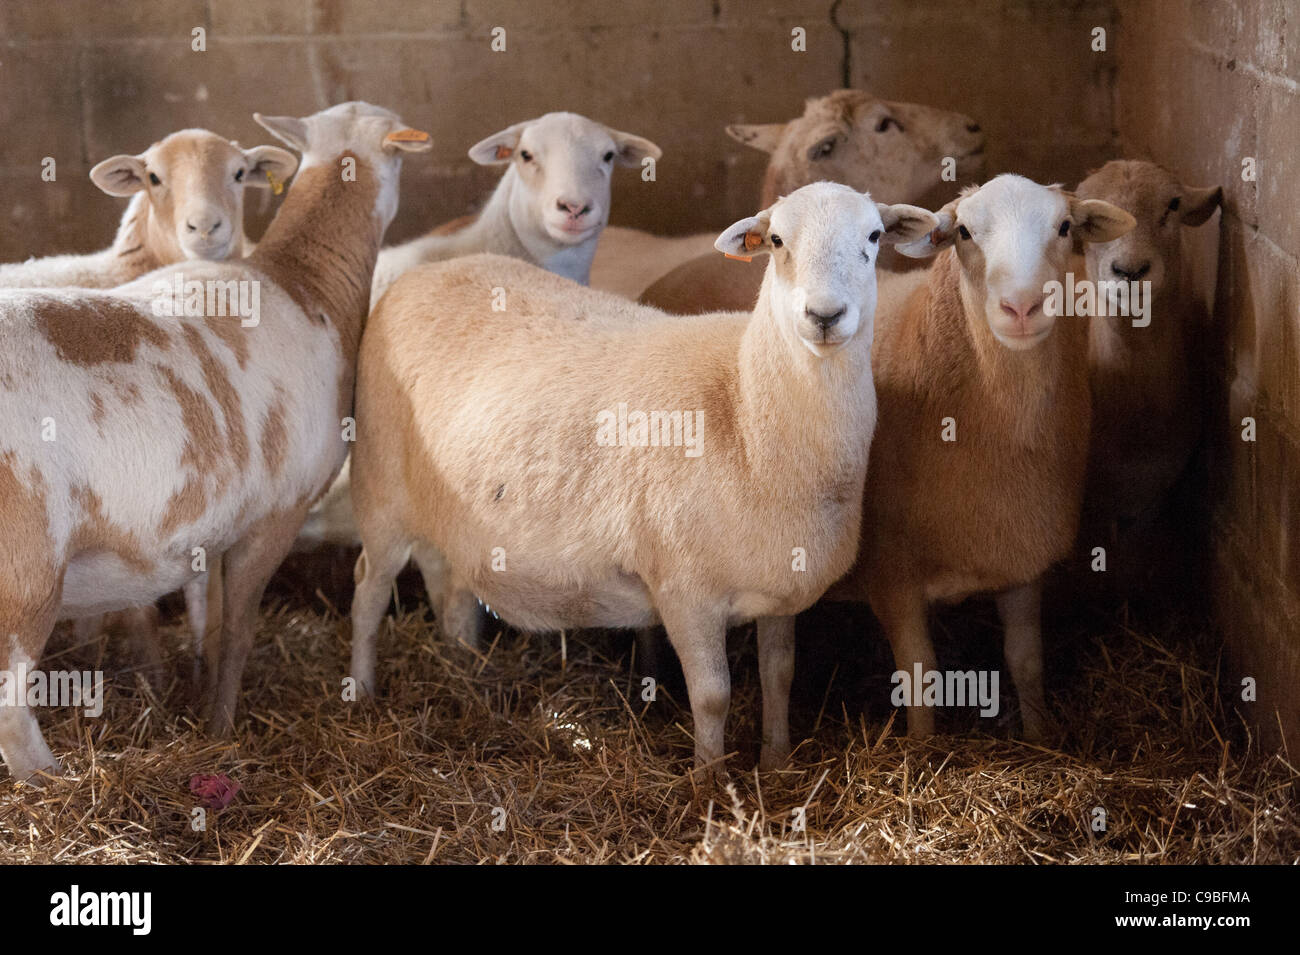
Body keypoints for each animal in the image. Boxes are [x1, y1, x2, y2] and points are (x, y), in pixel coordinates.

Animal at [346, 183, 937, 776]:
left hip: (447, 513)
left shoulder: (780, 584)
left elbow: (779, 675)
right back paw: (362, 691)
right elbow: (712, 696)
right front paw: (709, 781)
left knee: (447, 584)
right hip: (378, 490)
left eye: (874, 236)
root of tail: (422, 276)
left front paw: (776, 762)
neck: (741, 406)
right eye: (775, 240)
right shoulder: (684, 591)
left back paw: (463, 670)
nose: (824, 314)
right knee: (368, 590)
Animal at [816, 175, 1135, 743]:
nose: (1022, 308)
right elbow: (920, 676)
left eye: (1065, 227)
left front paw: (1042, 739)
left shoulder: (1021, 554)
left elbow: (1026, 661)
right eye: (963, 232)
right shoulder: (891, 574)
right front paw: (921, 750)